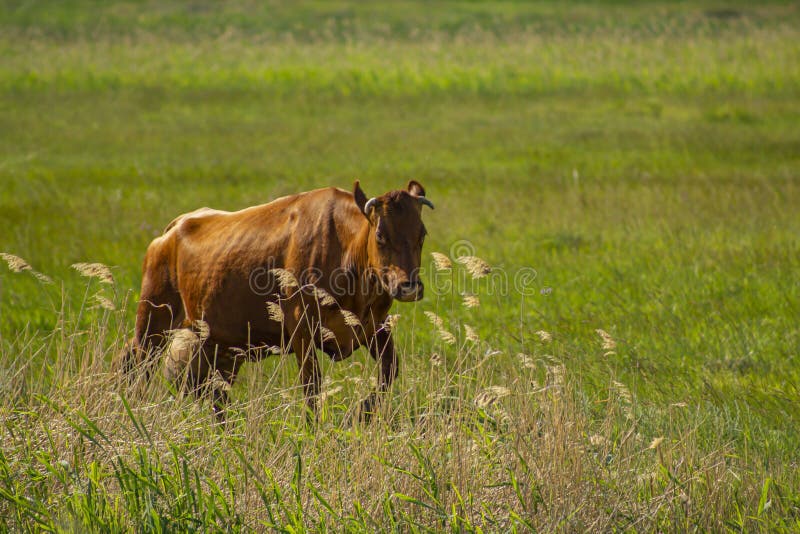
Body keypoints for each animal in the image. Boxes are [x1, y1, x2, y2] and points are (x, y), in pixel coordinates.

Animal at [119, 181, 433, 422]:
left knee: (214, 393)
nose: (408, 286)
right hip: (153, 322)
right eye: (380, 235)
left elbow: (389, 372)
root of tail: (172, 230)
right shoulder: (302, 331)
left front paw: (360, 414)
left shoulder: (374, 328)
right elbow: (312, 388)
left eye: (422, 233)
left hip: (220, 345)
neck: (345, 248)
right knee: (135, 363)